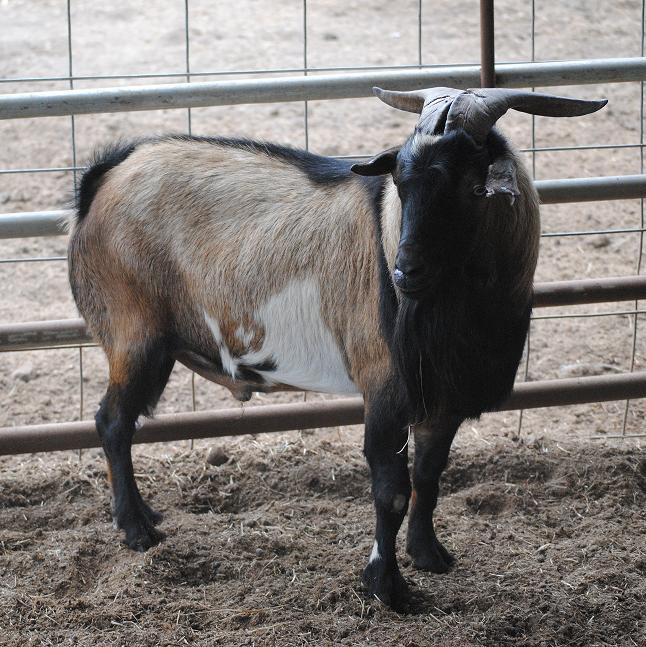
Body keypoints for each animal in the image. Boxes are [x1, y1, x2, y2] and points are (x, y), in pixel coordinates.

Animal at [68, 86, 606, 610]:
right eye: (401, 182)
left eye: (474, 188)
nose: (404, 271)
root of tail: (104, 177)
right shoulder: (386, 388)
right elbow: (392, 490)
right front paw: (388, 587)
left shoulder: (443, 399)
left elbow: (430, 476)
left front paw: (429, 555)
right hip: (136, 337)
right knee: (112, 421)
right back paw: (136, 530)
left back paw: (145, 514)